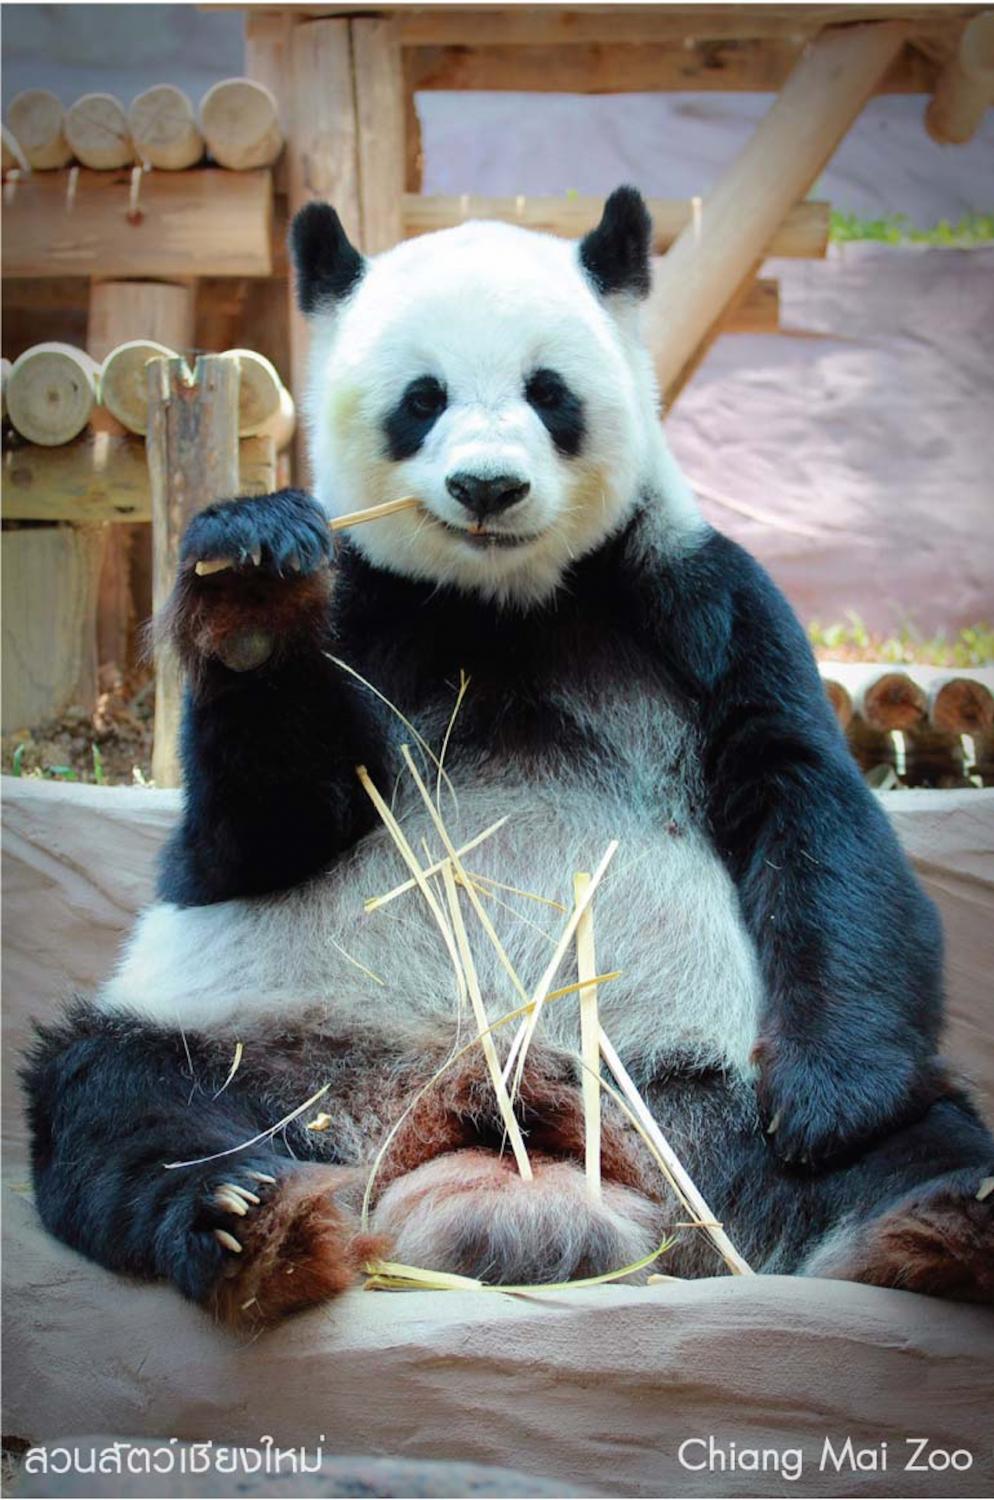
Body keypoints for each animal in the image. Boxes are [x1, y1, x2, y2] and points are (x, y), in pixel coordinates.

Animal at [24, 187, 993, 1326]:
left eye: (548, 391)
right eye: (421, 398)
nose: (486, 486)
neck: (497, 602)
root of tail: (480, 1111)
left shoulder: (698, 601)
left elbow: (808, 801)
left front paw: (826, 1099)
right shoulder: (367, 613)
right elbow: (248, 842)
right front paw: (254, 597)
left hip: (680, 1084)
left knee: (909, 1139)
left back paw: (951, 1217)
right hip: (274, 1046)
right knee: (127, 1099)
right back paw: (253, 1220)